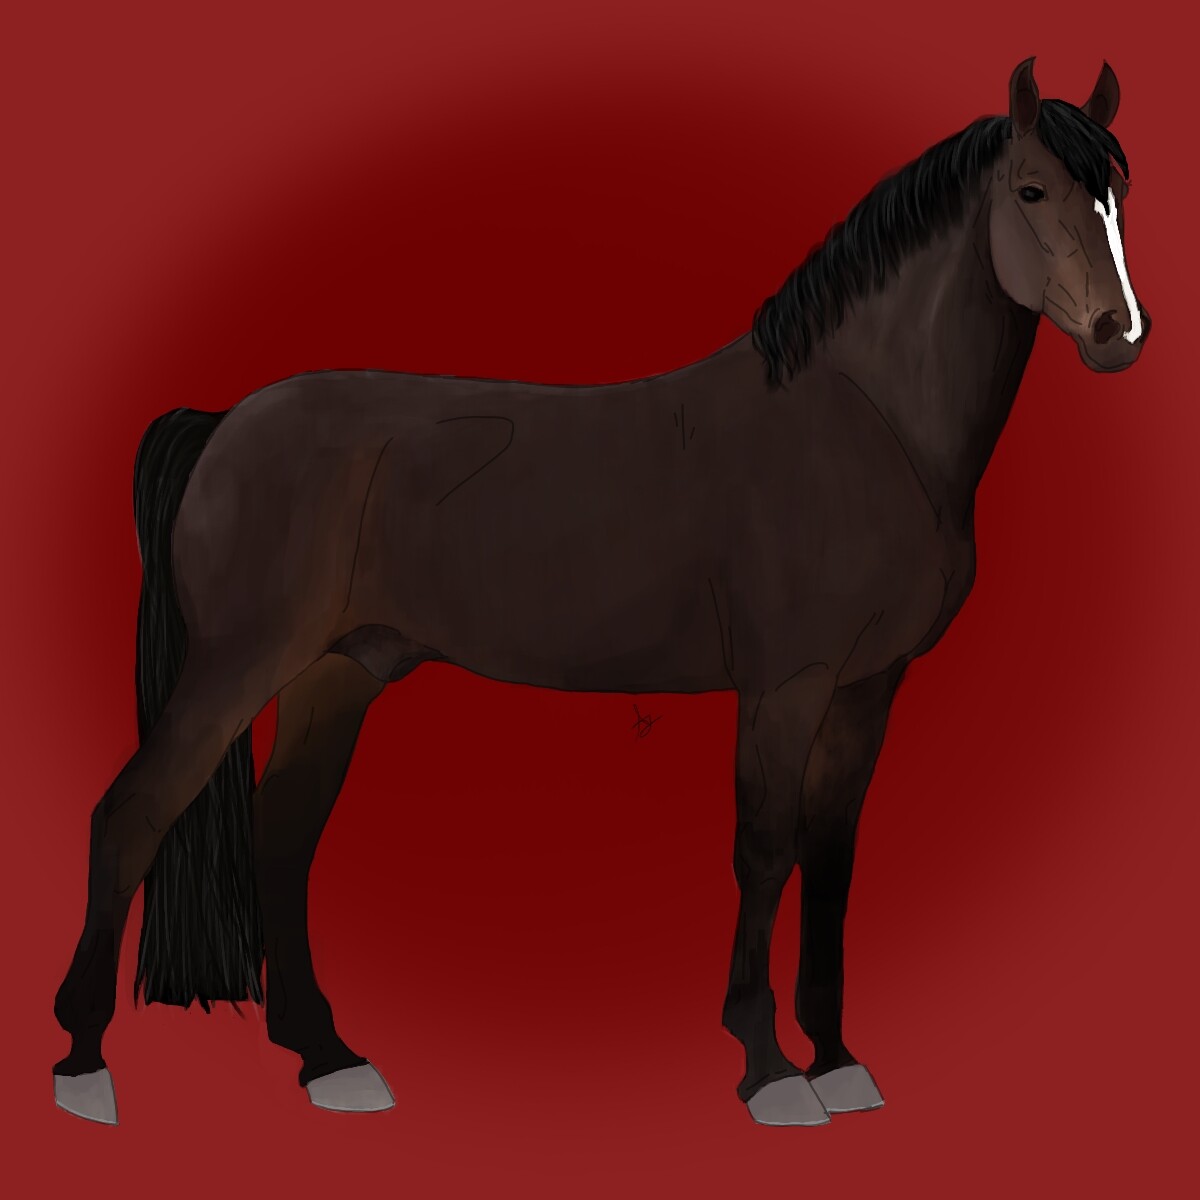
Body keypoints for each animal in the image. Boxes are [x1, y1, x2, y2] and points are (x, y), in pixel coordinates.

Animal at [52, 57, 1150, 1127]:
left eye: (1116, 195)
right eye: (1032, 188)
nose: (1118, 331)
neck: (868, 422)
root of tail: (225, 422)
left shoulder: (867, 688)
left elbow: (831, 858)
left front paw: (838, 1063)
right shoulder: (786, 685)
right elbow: (765, 850)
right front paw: (770, 1072)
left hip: (336, 675)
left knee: (281, 837)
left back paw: (330, 1062)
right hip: (238, 663)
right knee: (131, 814)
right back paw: (84, 1066)